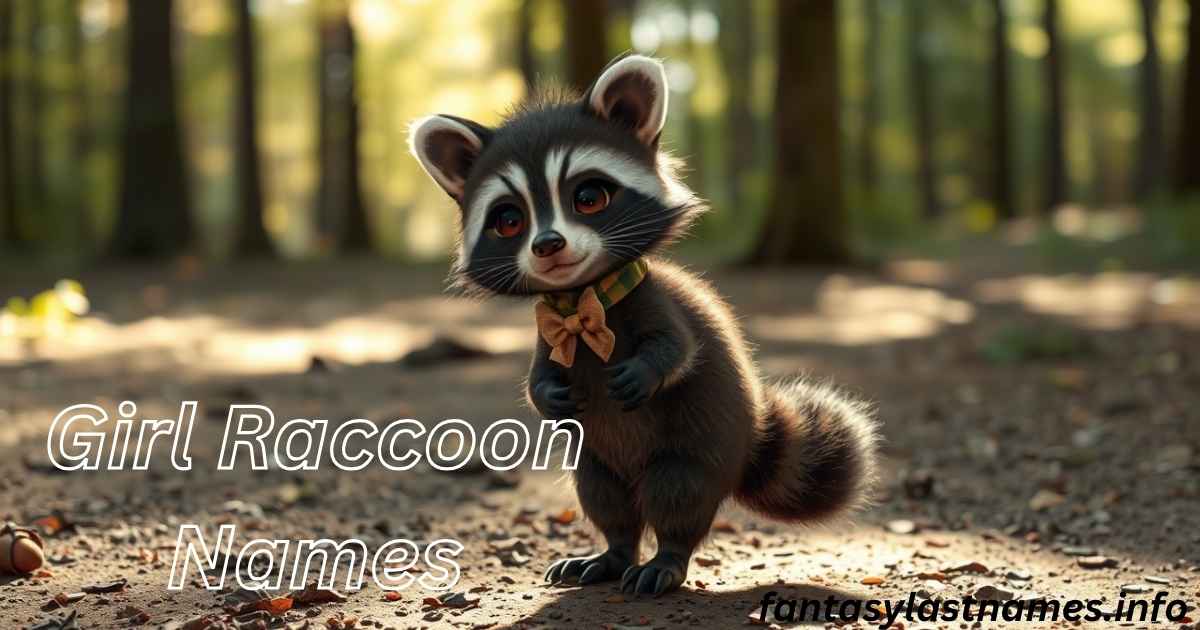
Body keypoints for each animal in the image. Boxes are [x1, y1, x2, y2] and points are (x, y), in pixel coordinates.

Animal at [409, 55, 878, 596]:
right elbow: (537, 376)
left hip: (698, 449)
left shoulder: (657, 302)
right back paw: (613, 553)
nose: (547, 245)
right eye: (509, 220)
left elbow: (678, 347)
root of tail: (747, 449)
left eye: (589, 197)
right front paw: (547, 393)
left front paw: (646, 370)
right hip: (596, 461)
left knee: (677, 495)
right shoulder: (549, 328)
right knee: (607, 501)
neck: (583, 299)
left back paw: (666, 559)